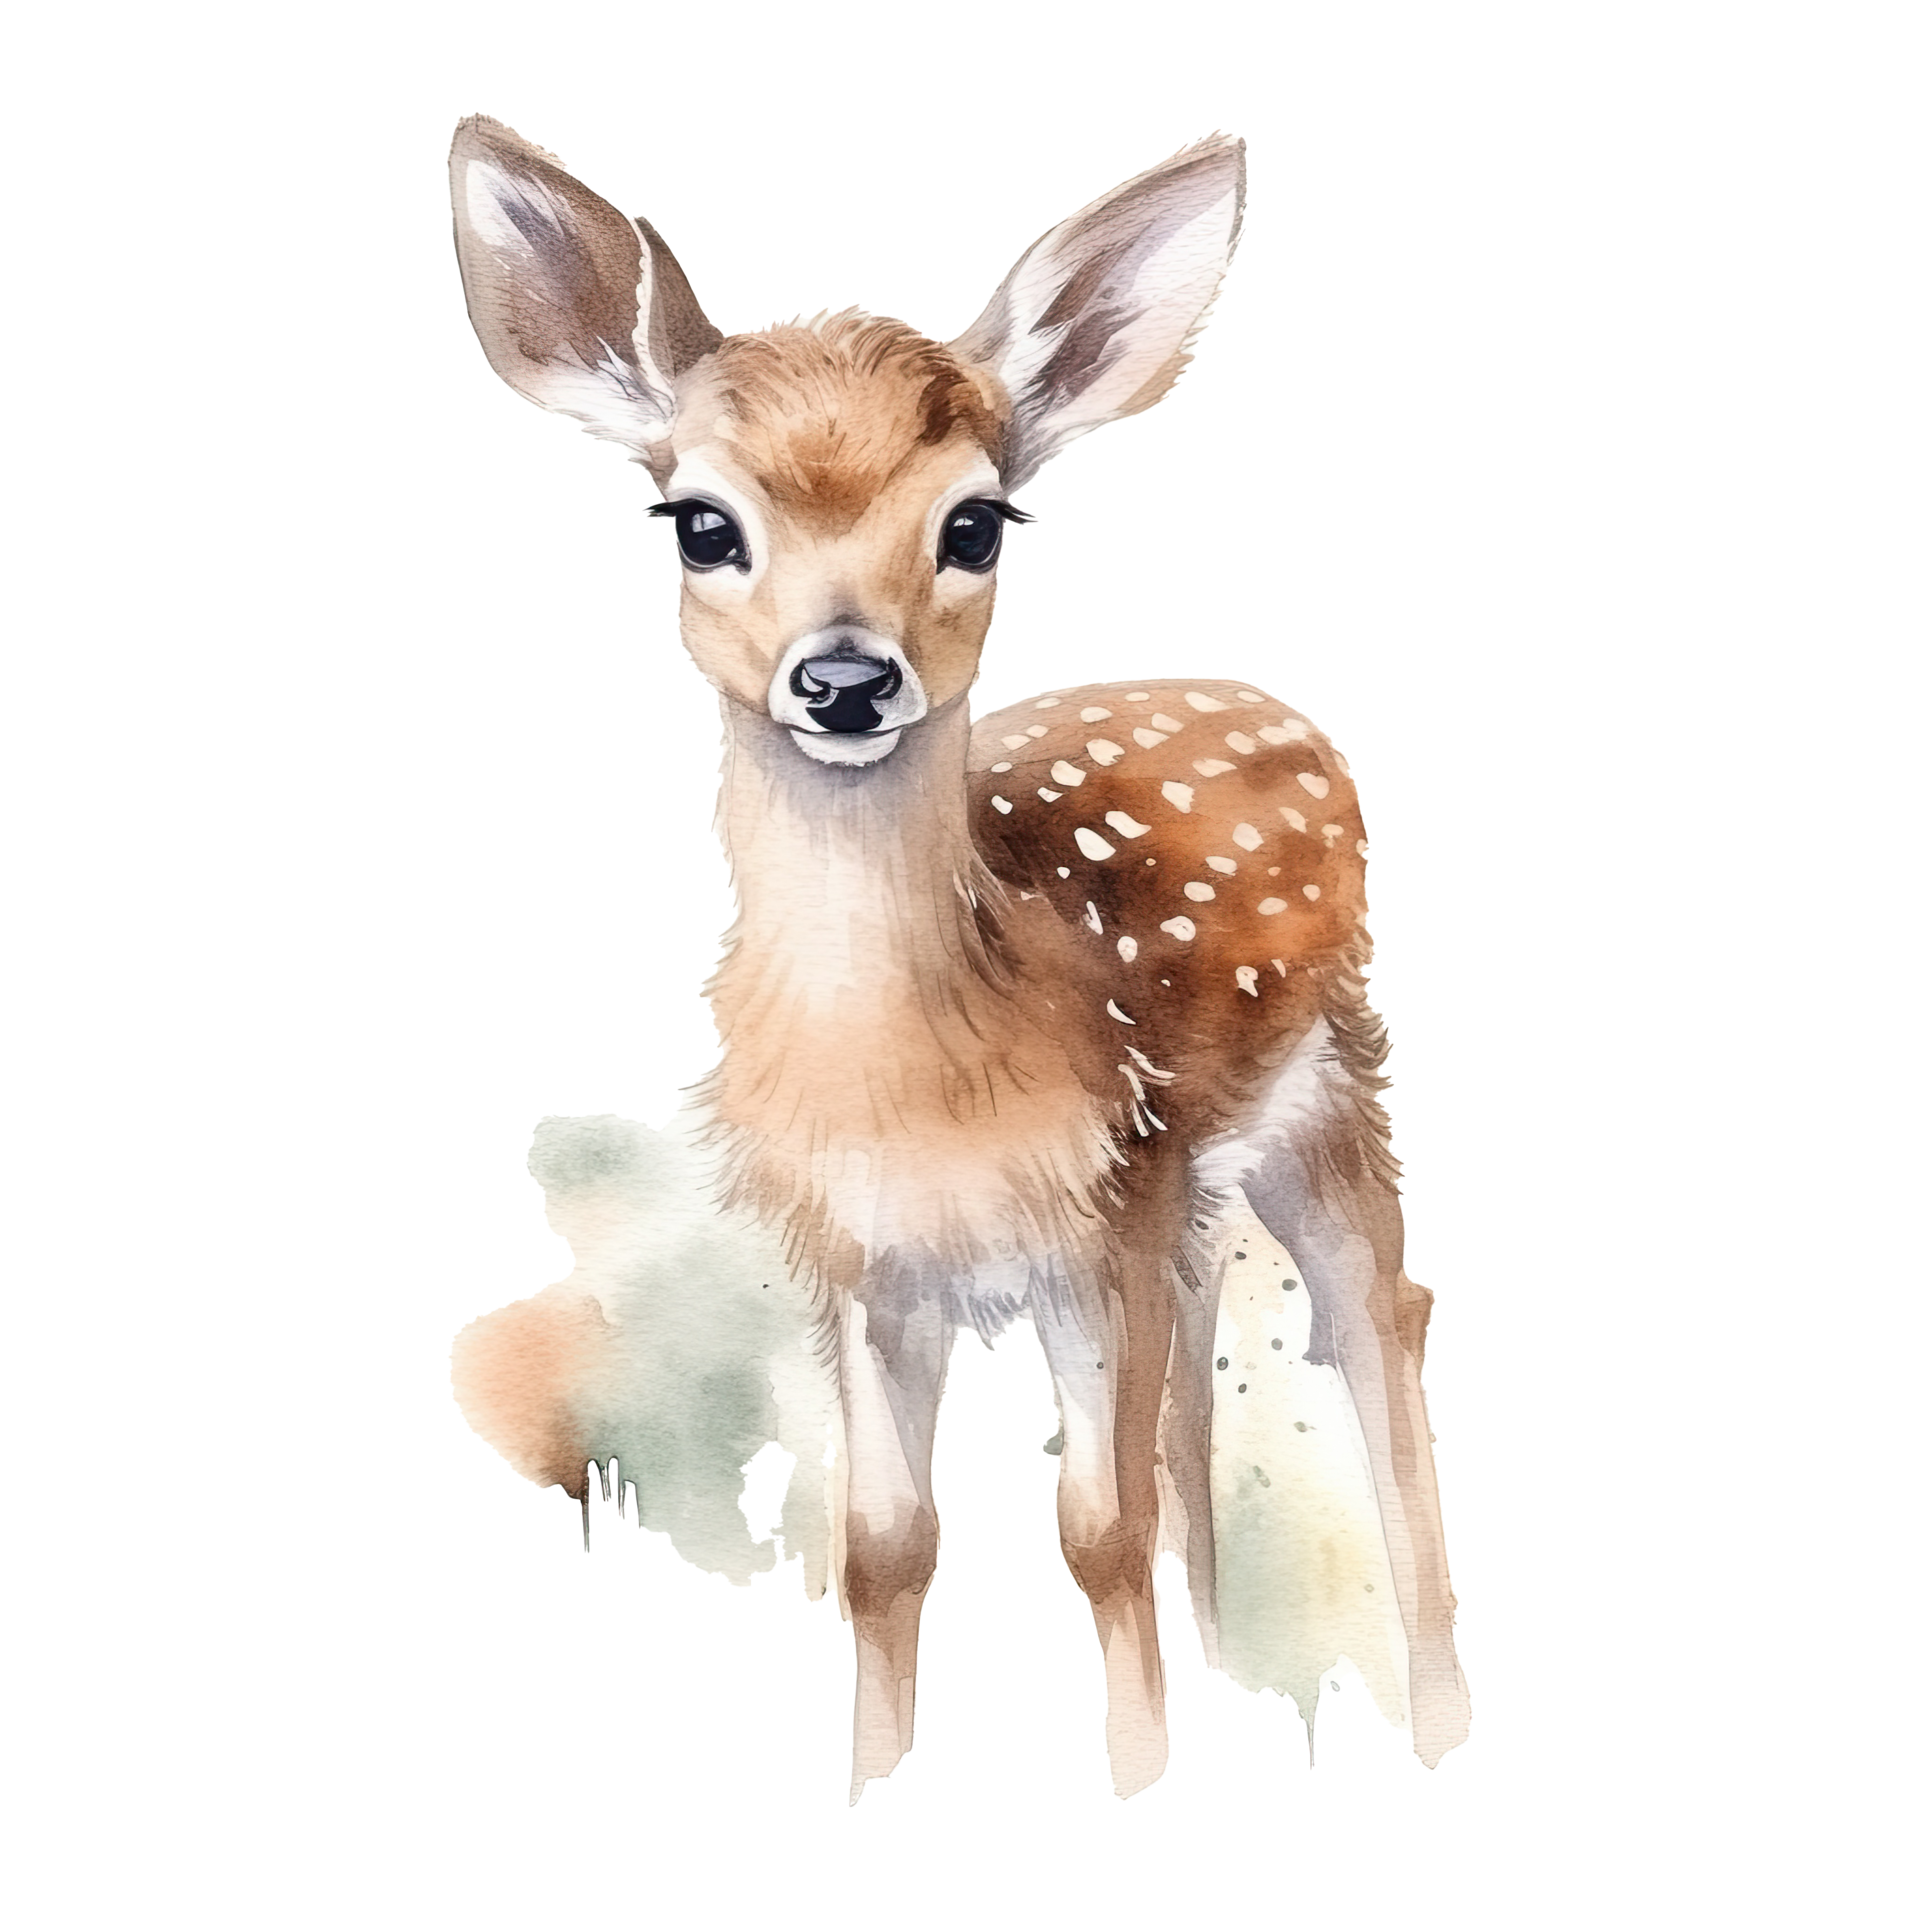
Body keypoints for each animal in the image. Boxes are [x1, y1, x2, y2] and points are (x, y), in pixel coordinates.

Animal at [444, 111, 1472, 1807]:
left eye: (976, 521)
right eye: (702, 522)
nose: (847, 678)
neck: (926, 1085)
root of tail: (1269, 699)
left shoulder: (1092, 1223)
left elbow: (1096, 1532)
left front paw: (1138, 1777)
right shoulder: (870, 1261)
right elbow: (885, 1547)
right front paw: (881, 1776)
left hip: (1330, 1081)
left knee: (1381, 1324)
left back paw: (1440, 1716)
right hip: (1187, 1180)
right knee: (1206, 1353)